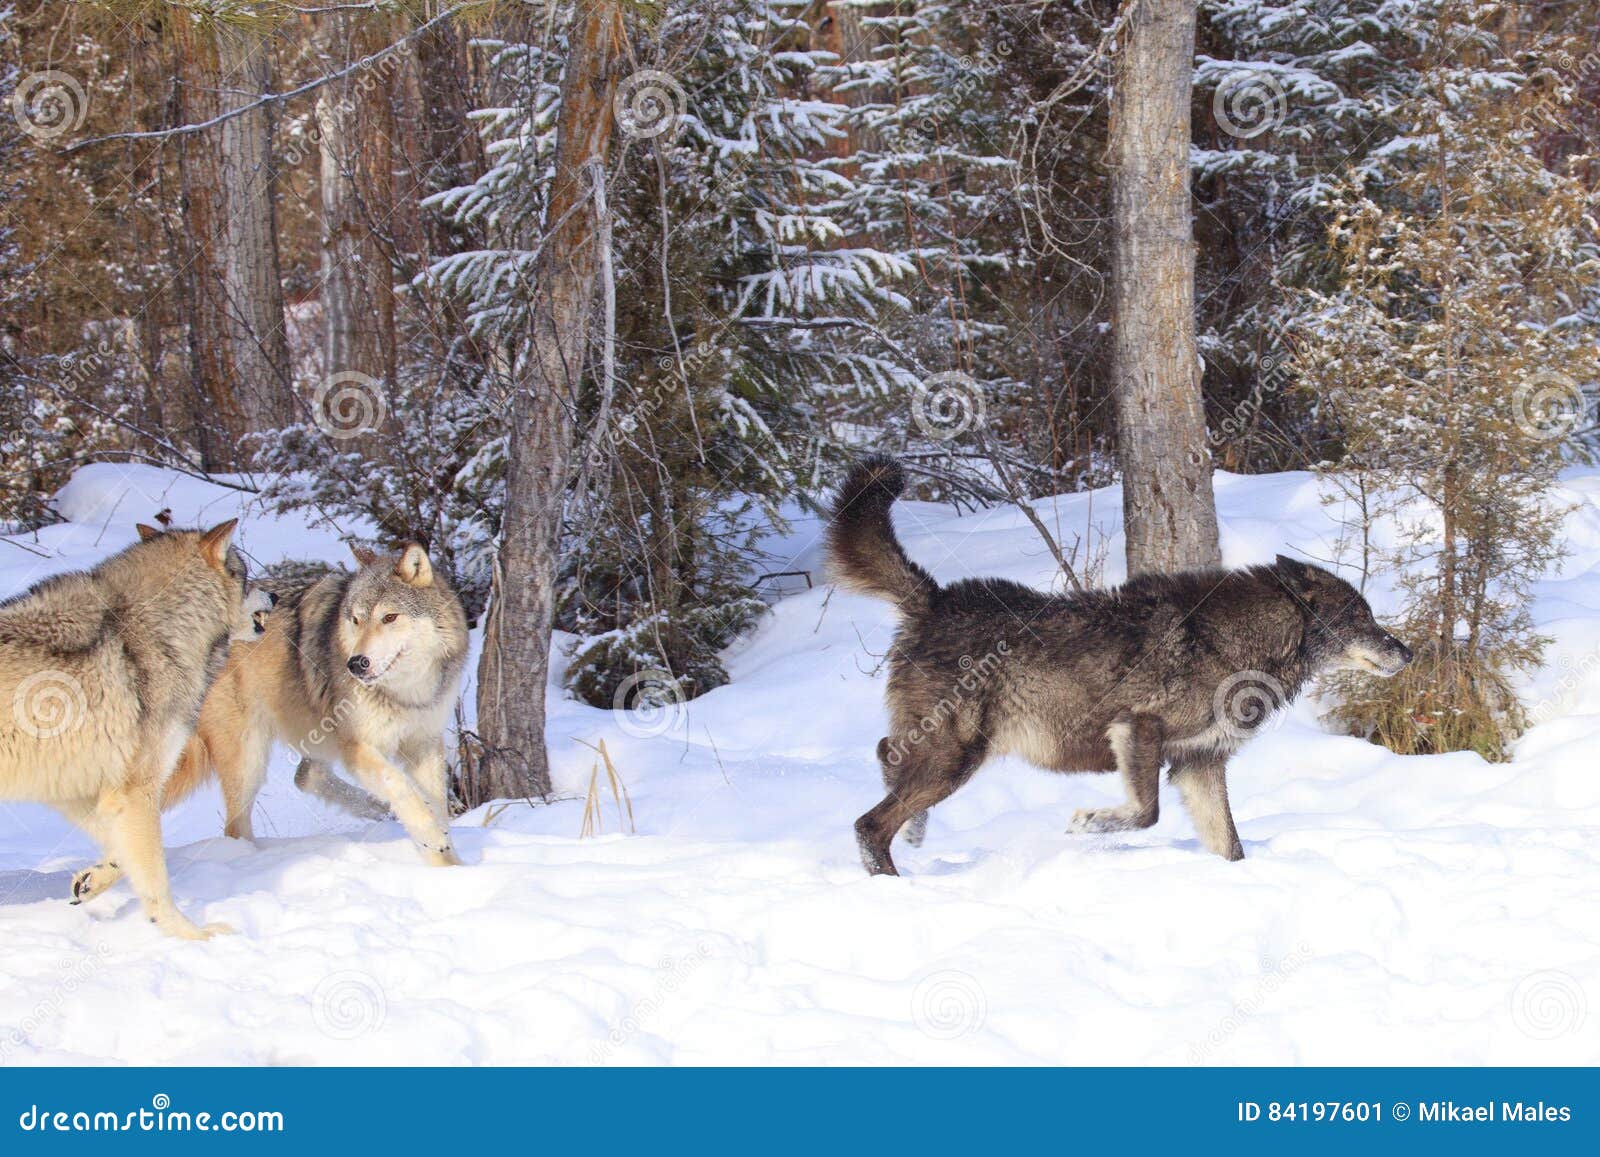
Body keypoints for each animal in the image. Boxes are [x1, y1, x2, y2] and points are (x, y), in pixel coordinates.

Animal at [0, 520, 272, 938]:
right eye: (246, 576)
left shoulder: (85, 790)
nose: (273, 594)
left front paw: (92, 880)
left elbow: (121, 853)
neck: (156, 628)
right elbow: (157, 879)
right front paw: (192, 936)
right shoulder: (137, 789)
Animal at [69, 542, 470, 905]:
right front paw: (434, 841)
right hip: (248, 758)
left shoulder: (424, 743)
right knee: (235, 827)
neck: (405, 693)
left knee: (305, 777)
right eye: (356, 620)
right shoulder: (357, 747)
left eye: (389, 618)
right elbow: (402, 789)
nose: (357, 664)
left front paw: (450, 868)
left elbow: (435, 807)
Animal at [827, 455, 1413, 876]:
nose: (1407, 652)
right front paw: (1088, 823)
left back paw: (915, 831)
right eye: (1361, 617)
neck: (1235, 643)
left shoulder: (1199, 765)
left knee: (884, 759)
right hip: (957, 757)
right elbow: (1145, 814)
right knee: (867, 823)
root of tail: (936, 598)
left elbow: (1230, 847)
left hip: (948, 755)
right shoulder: (1139, 728)